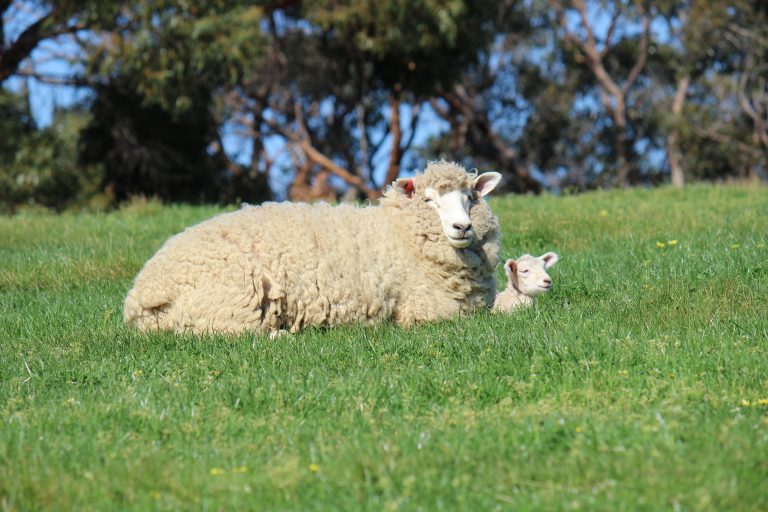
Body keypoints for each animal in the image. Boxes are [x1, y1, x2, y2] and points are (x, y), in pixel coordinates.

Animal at [123, 161, 503, 335]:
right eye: (429, 200)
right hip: (227, 301)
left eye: (471, 198)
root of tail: (142, 294)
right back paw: (284, 335)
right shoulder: (427, 311)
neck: (398, 233)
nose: (462, 227)